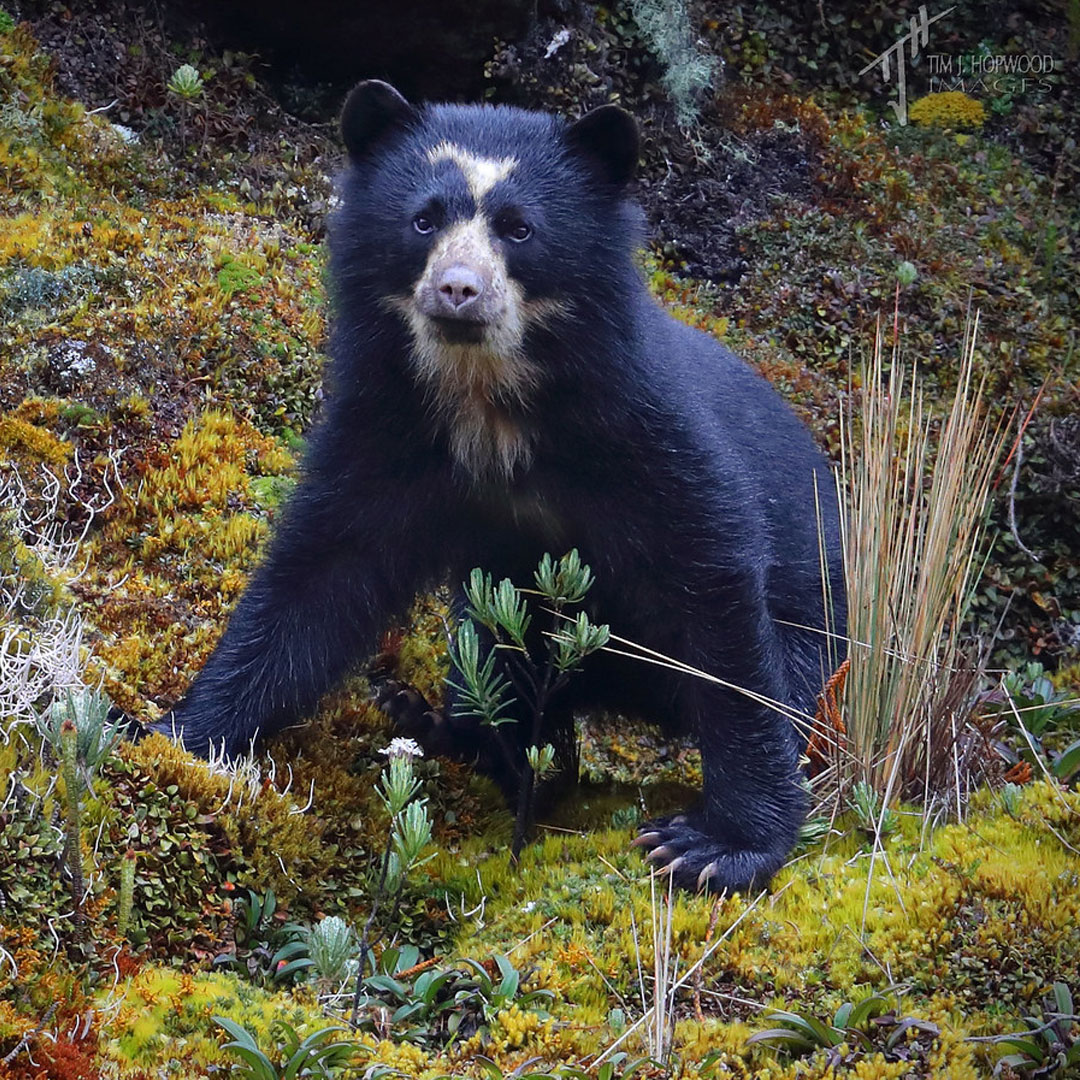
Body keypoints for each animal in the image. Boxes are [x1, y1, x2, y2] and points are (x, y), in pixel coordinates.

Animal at [167, 80, 846, 894]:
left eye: (520, 229)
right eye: (423, 218)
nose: (458, 290)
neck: (489, 397)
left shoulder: (645, 430)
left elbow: (713, 590)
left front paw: (711, 846)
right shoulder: (390, 429)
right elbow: (322, 572)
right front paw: (177, 733)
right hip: (491, 620)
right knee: (489, 655)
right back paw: (433, 720)